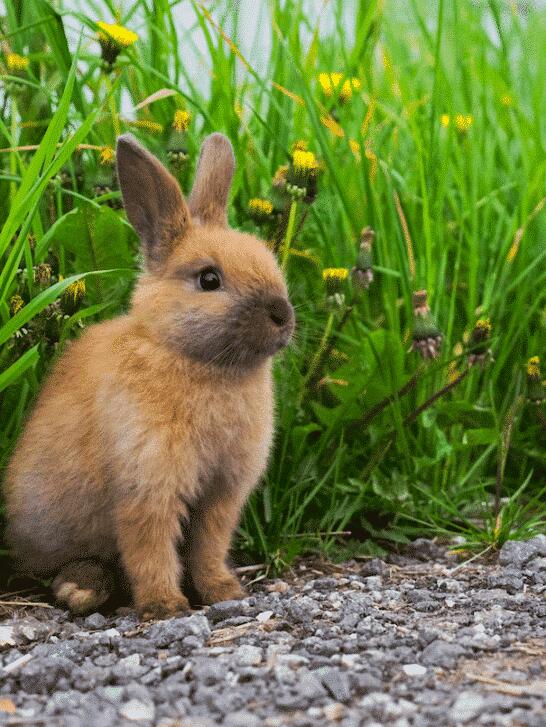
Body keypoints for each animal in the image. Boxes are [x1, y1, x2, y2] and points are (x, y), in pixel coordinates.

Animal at [4, 132, 294, 619]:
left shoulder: (221, 495)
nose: (283, 315)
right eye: (209, 279)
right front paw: (165, 605)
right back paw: (80, 589)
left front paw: (224, 591)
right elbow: (150, 548)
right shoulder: (147, 485)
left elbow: (208, 547)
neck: (195, 360)